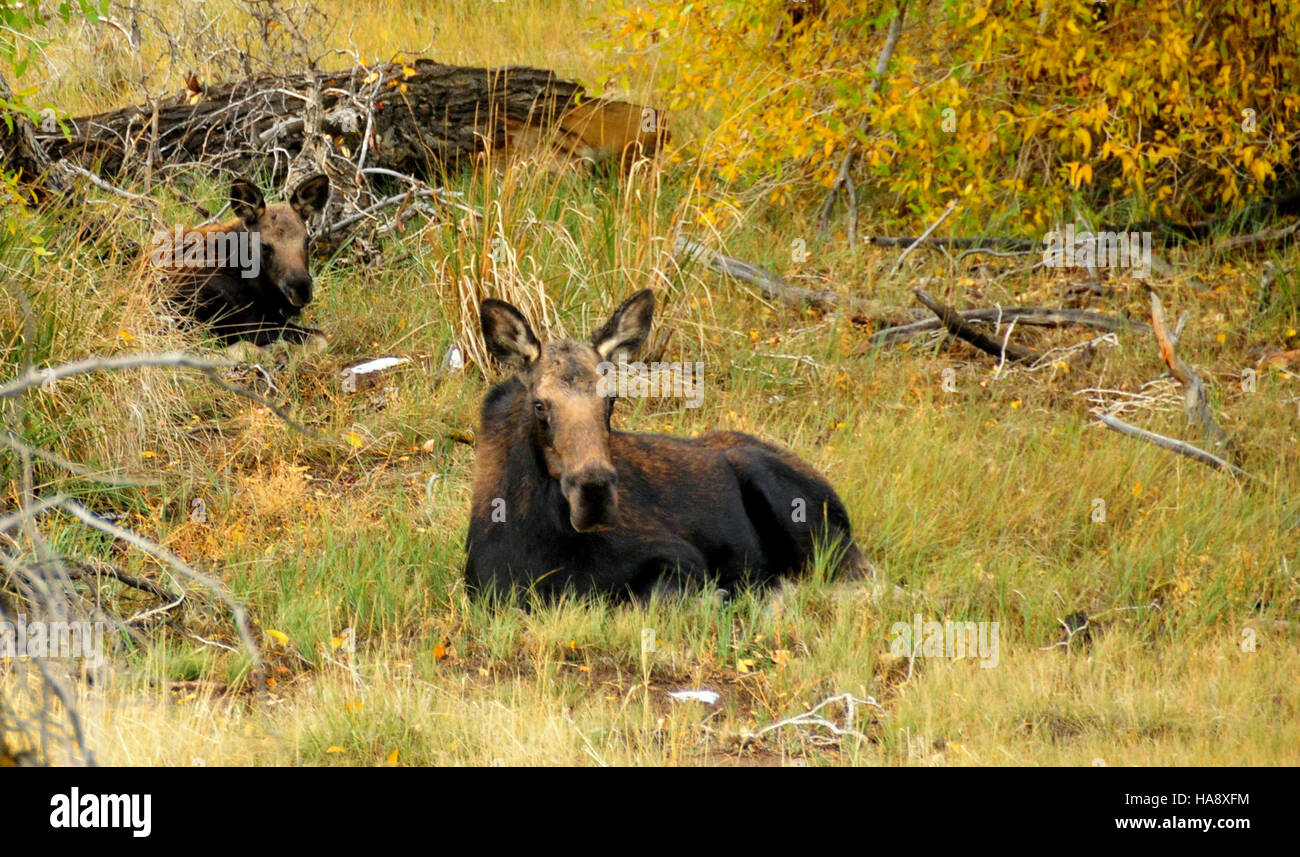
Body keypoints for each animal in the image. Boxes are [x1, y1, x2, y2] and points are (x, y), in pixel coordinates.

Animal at [465, 289, 871, 602]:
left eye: (611, 400)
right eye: (539, 404)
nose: (594, 494)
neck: (543, 536)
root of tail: (838, 502)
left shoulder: (679, 557)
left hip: (789, 502)